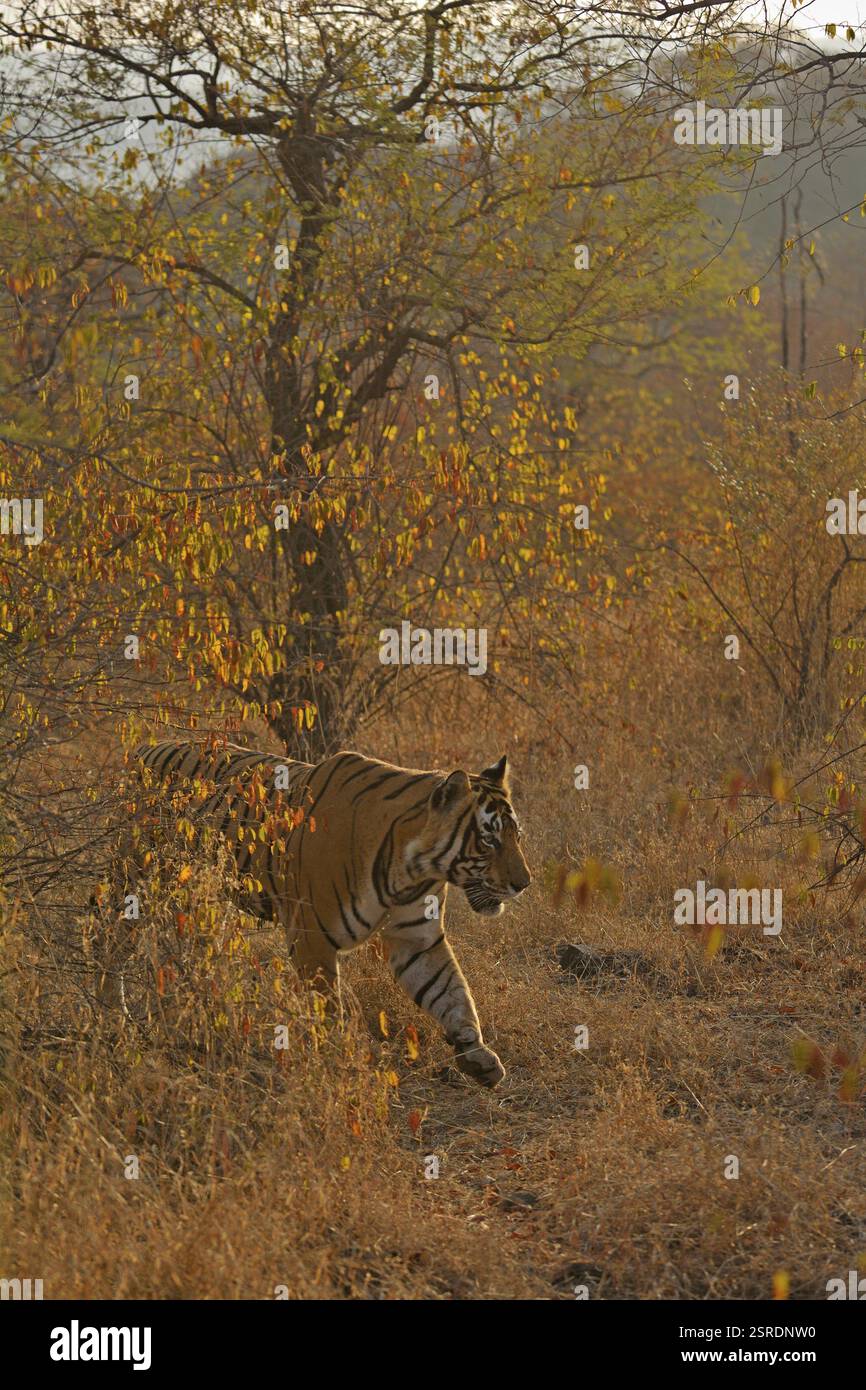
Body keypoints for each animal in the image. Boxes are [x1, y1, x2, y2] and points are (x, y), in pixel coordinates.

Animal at [97, 740, 531, 1087]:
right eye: (488, 840)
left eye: (516, 836)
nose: (524, 883)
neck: (414, 870)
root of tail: (144, 749)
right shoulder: (312, 937)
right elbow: (329, 1011)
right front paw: (344, 1066)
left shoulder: (416, 938)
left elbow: (452, 993)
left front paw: (477, 1055)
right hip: (134, 884)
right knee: (112, 945)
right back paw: (112, 1017)